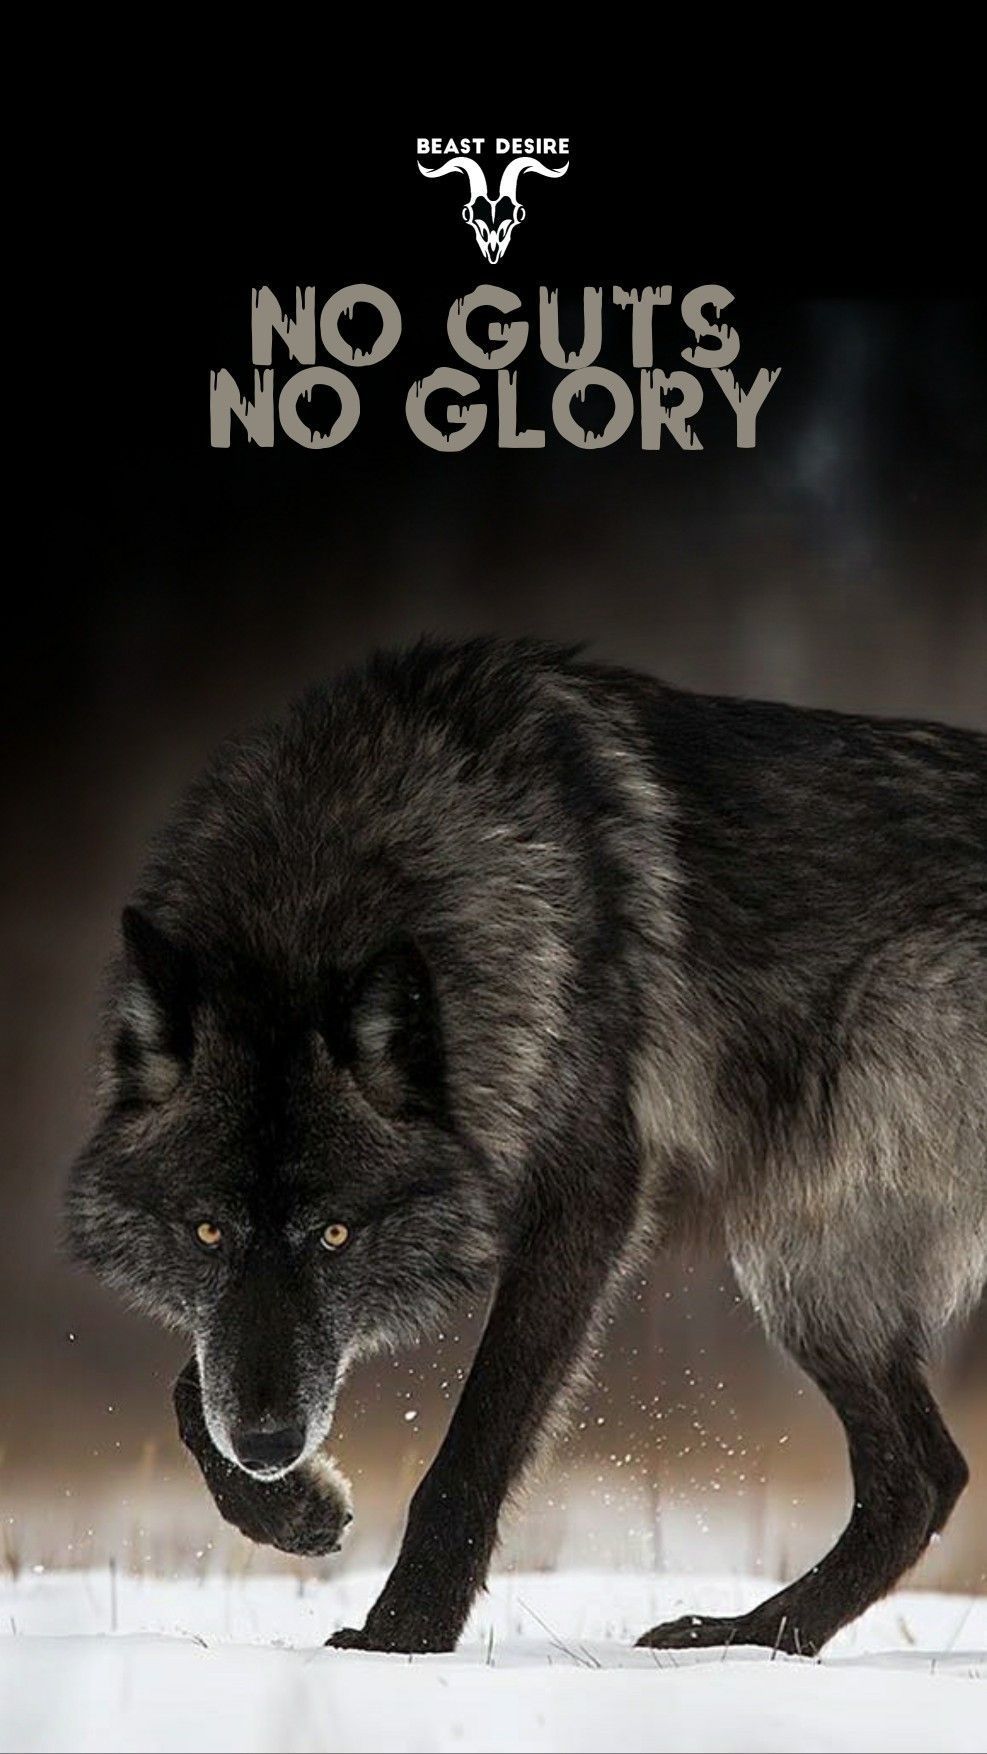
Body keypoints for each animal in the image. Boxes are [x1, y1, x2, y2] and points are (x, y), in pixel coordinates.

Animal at [65, 637, 987, 1655]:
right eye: (207, 1233)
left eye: (337, 1234)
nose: (271, 1446)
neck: (318, 886)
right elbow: (193, 1392)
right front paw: (292, 1510)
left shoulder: (588, 1201)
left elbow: (476, 1443)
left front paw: (404, 1636)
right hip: (807, 1266)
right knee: (922, 1480)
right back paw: (741, 1638)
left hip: (802, 1245)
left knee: (919, 1477)